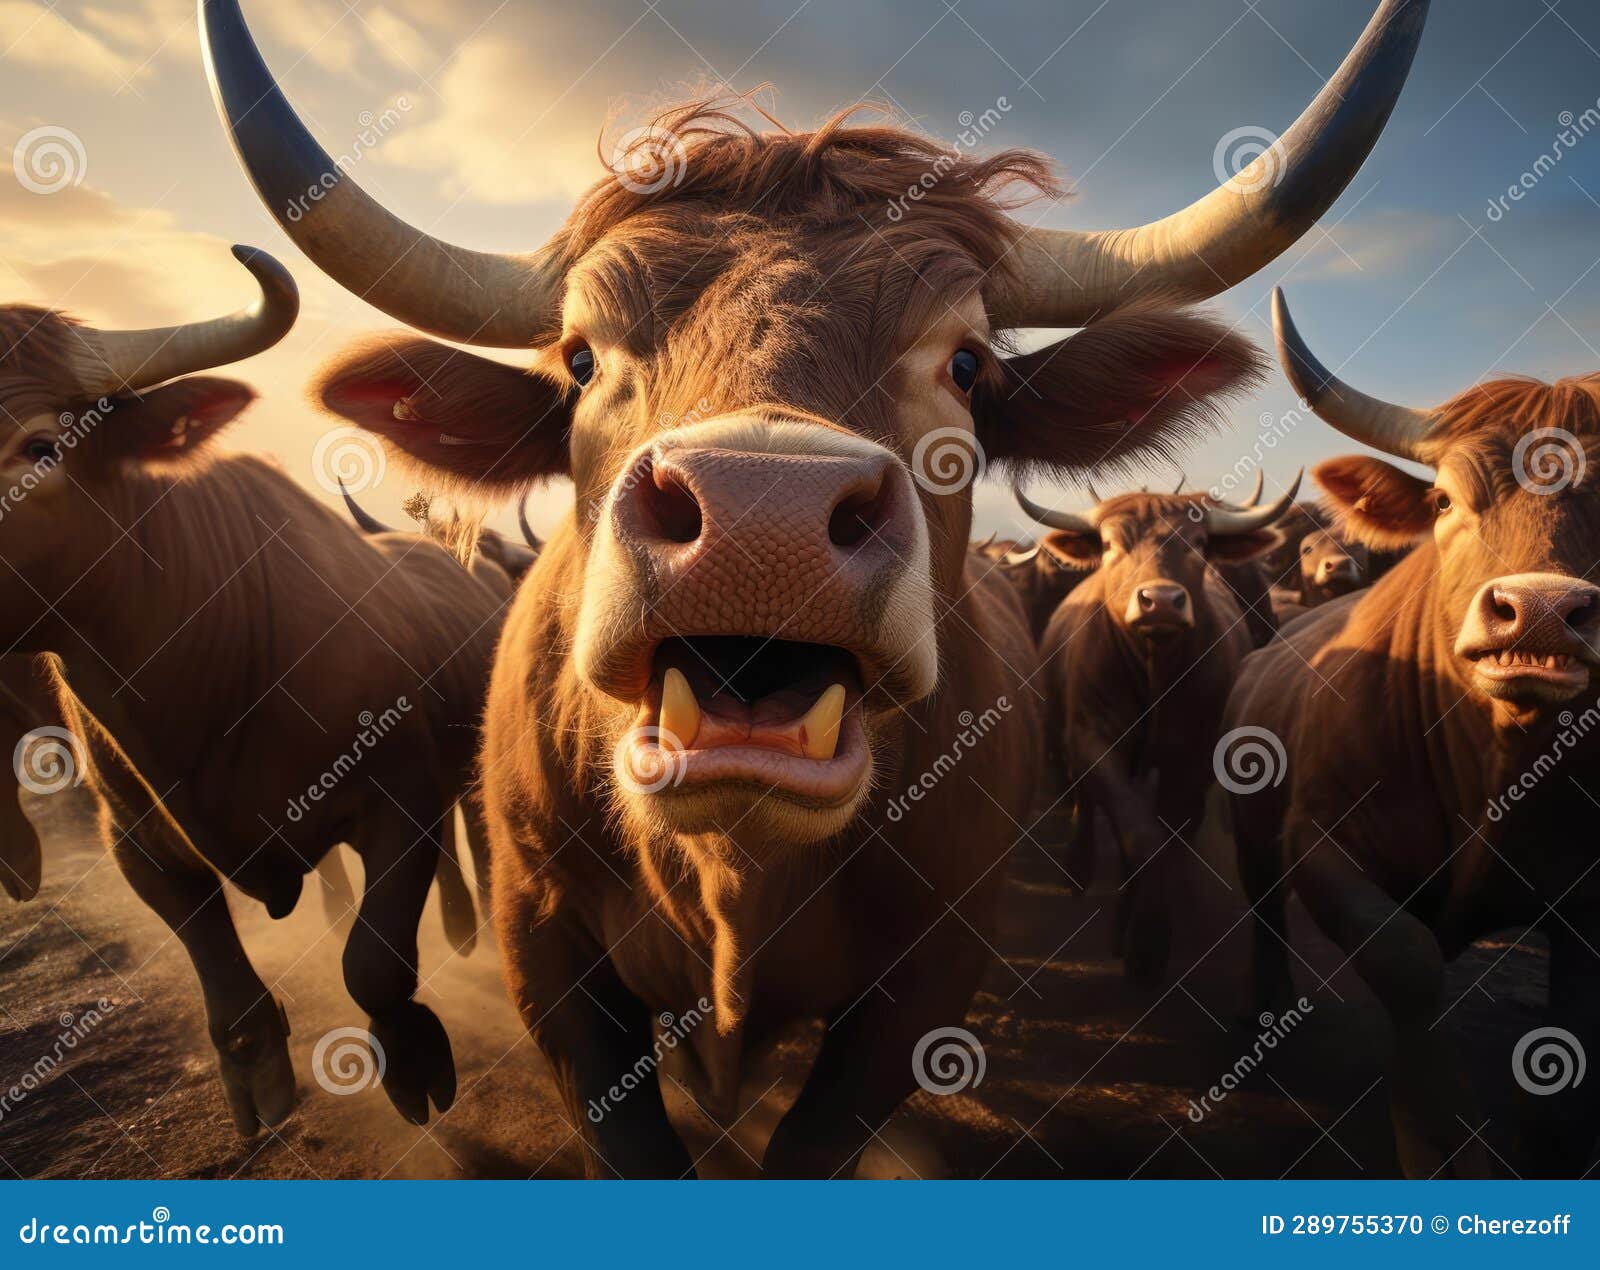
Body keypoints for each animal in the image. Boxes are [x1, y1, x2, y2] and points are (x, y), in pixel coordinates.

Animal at [0, 247, 507, 1133]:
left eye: (38, 447)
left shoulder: (398, 796)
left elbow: (373, 962)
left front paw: (413, 1063)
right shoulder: (136, 839)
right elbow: (222, 977)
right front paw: (260, 1076)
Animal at [1021, 481, 1297, 983]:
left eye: (1200, 543)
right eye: (1110, 543)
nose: (1162, 601)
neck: (1153, 670)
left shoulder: (1192, 759)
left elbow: (1168, 833)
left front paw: (1141, 931)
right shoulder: (1094, 742)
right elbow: (1138, 833)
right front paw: (1145, 944)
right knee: (1086, 801)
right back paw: (1077, 867)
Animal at [1226, 286, 1600, 1177]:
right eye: (1444, 501)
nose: (1540, 613)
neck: (1495, 767)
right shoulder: (1318, 841)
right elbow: (1407, 963)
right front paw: (1434, 1136)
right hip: (1249, 830)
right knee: (1263, 910)